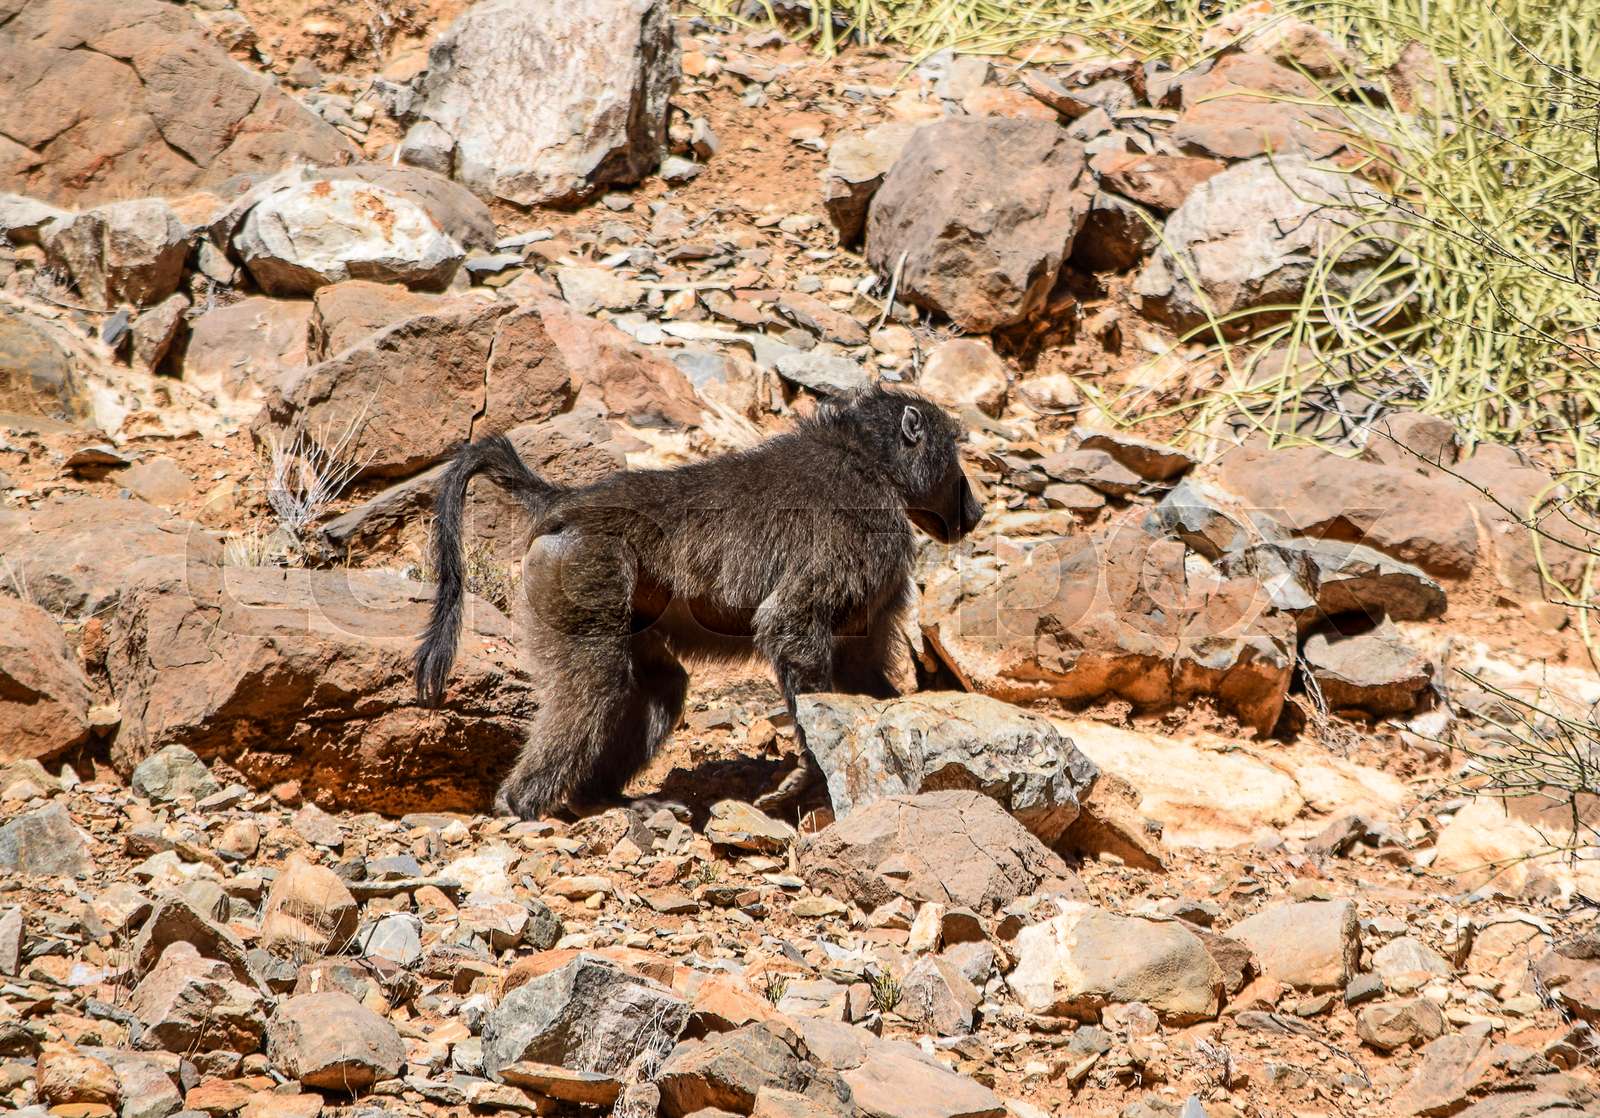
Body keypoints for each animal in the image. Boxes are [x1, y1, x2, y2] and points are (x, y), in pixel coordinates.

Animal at [414, 385, 984, 821]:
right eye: (955, 458)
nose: (975, 512)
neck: (870, 460)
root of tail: (568, 503)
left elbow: (857, 668)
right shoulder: (866, 533)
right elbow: (789, 625)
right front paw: (807, 775)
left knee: (659, 686)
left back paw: (605, 799)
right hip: (582, 569)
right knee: (596, 686)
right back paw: (524, 806)